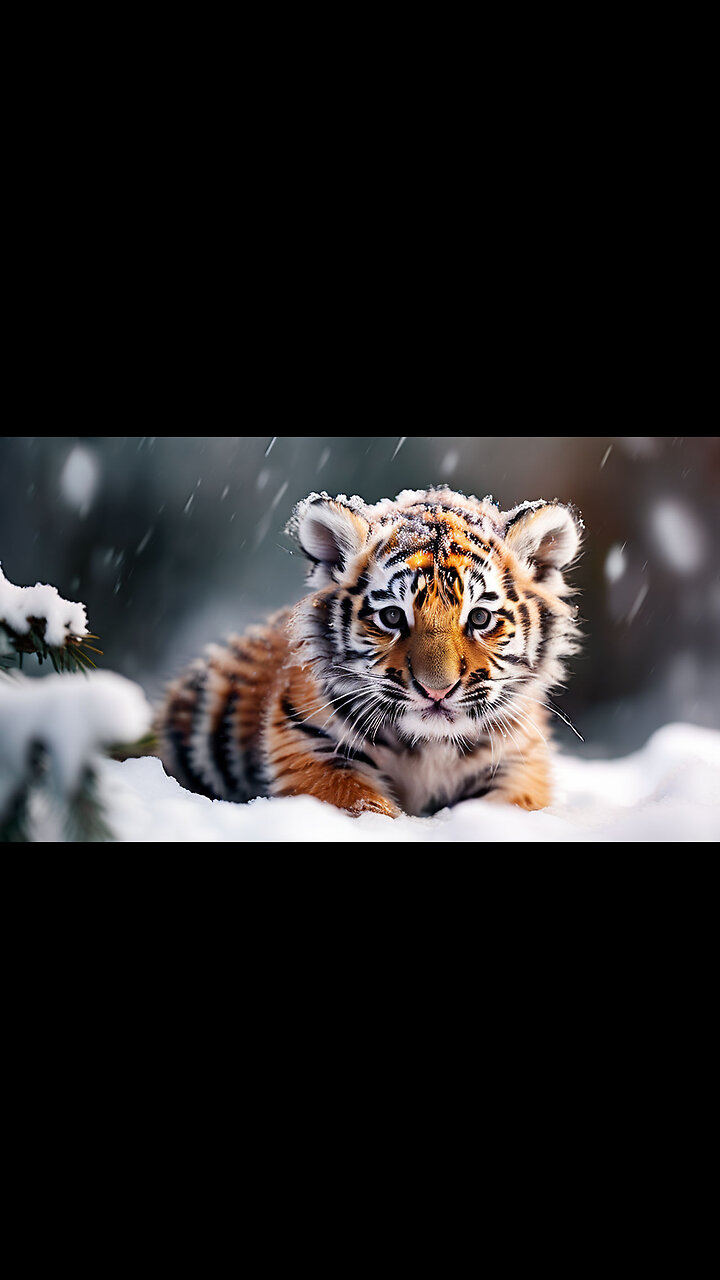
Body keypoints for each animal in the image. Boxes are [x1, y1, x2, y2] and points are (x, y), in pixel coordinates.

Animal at [156, 486, 582, 817]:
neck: (429, 747)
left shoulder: (518, 758)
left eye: (479, 618)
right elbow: (359, 803)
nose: (437, 690)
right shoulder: (309, 742)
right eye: (392, 616)